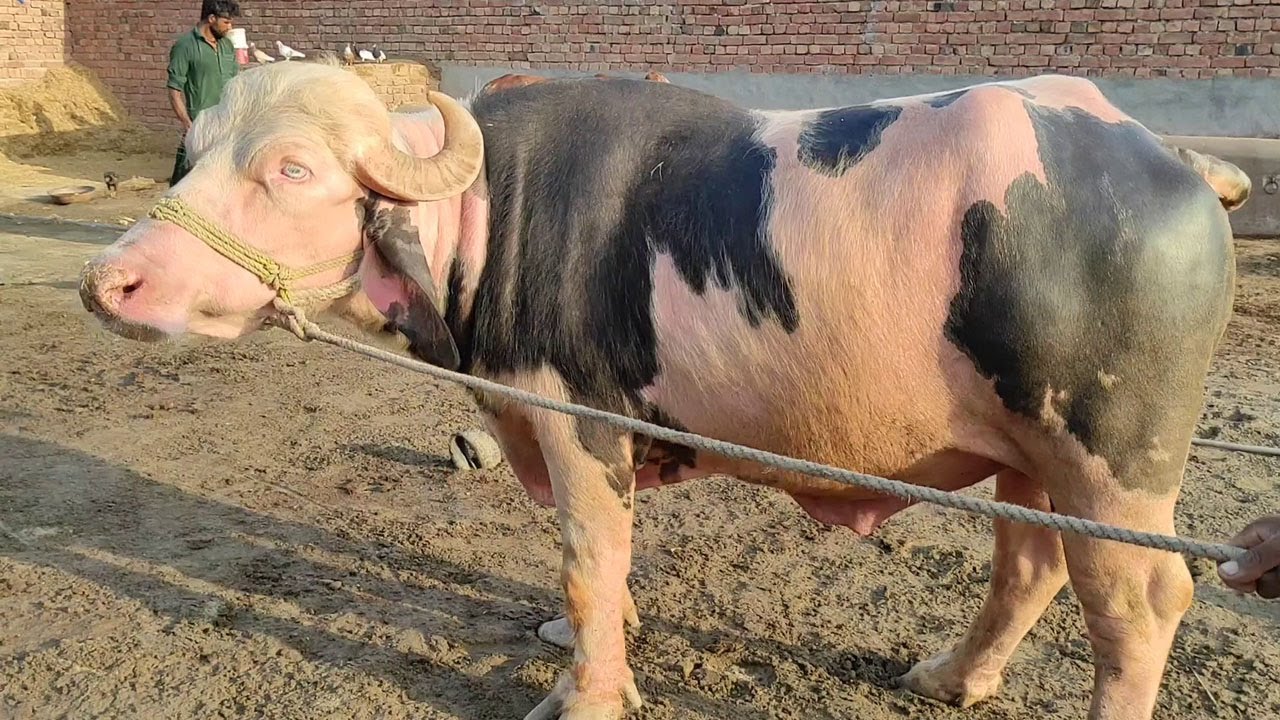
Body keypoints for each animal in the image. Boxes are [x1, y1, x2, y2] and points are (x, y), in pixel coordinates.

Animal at [78, 56, 1251, 720]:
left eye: (291, 169)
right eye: (190, 155)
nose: (108, 281)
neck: (489, 222)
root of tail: (1176, 164)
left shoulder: (578, 422)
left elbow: (585, 561)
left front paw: (582, 694)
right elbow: (601, 569)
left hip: (1118, 460)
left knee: (1142, 602)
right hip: (1034, 449)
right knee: (1031, 562)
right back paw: (947, 678)